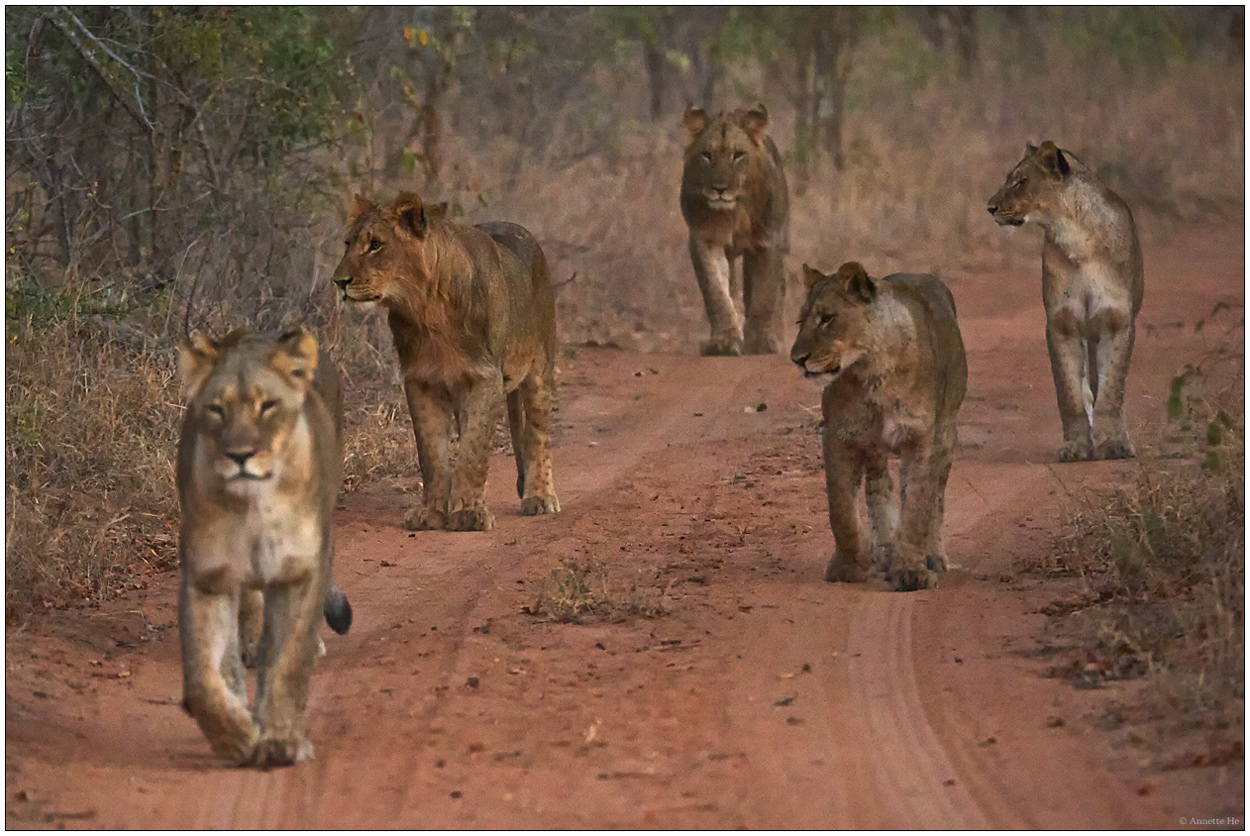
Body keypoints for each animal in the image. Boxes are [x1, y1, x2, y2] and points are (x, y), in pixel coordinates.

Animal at [177, 327, 352, 767]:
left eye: (268, 406)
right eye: (216, 409)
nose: (240, 455)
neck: (254, 505)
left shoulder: (300, 572)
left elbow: (289, 662)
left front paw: (279, 740)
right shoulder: (207, 576)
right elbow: (202, 678)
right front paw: (237, 737)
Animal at [332, 193, 560, 531]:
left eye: (375, 245)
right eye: (348, 244)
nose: (339, 281)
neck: (425, 309)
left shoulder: (484, 377)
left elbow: (472, 453)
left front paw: (468, 514)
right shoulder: (420, 380)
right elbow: (432, 455)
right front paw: (432, 512)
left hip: (539, 368)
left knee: (536, 434)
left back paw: (540, 497)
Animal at [680, 103, 790, 356]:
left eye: (738, 154)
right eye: (706, 155)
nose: (719, 188)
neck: (734, 212)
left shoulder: (768, 241)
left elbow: (764, 296)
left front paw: (761, 342)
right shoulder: (706, 238)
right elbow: (716, 292)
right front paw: (724, 341)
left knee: (777, 288)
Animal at [791, 262, 967, 592]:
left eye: (827, 318)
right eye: (800, 320)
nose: (797, 359)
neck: (870, 372)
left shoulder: (922, 438)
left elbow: (918, 507)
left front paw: (911, 571)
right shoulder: (839, 436)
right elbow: (841, 509)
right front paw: (848, 567)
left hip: (948, 434)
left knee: (937, 497)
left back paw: (933, 556)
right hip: (873, 445)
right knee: (878, 488)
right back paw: (884, 550)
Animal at [988, 141, 1144, 461]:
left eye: (1020, 182)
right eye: (1010, 179)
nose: (990, 207)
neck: (1075, 235)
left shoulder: (1117, 322)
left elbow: (1112, 391)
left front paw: (1114, 443)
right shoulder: (1062, 324)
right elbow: (1069, 394)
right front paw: (1075, 446)